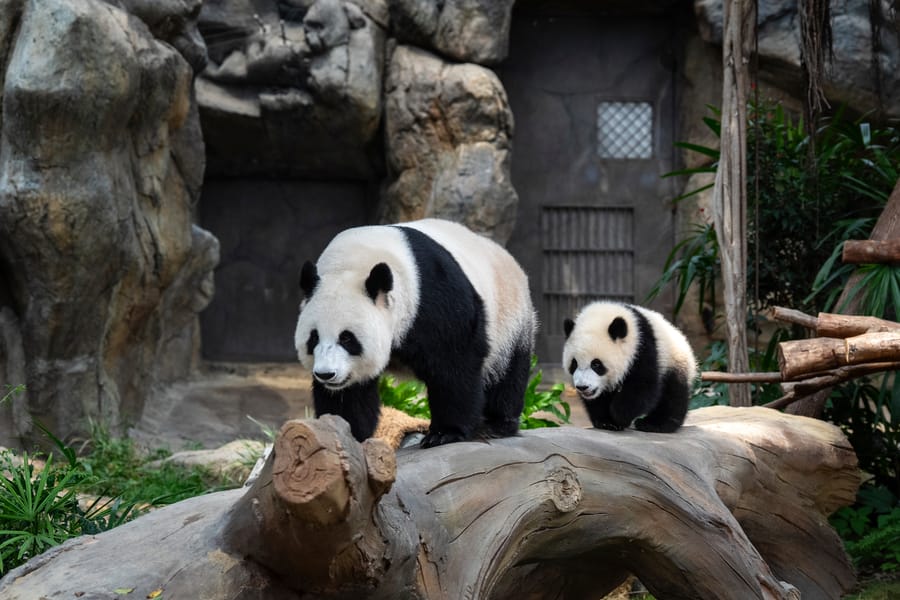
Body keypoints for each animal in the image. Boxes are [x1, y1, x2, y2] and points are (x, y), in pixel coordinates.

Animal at [294, 218, 536, 448]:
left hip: (509, 319)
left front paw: (444, 433)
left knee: (506, 373)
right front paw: (344, 434)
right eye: (313, 337)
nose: (326, 374)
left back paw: (497, 424)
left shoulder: (433, 298)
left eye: (346, 338)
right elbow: (350, 395)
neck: (352, 264)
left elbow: (454, 364)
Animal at [562, 301, 697, 433]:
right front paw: (607, 422)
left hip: (673, 360)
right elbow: (599, 399)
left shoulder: (642, 348)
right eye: (574, 364)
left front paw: (620, 416)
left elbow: (643, 386)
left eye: (596, 364)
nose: (583, 387)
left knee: (673, 394)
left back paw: (654, 424)